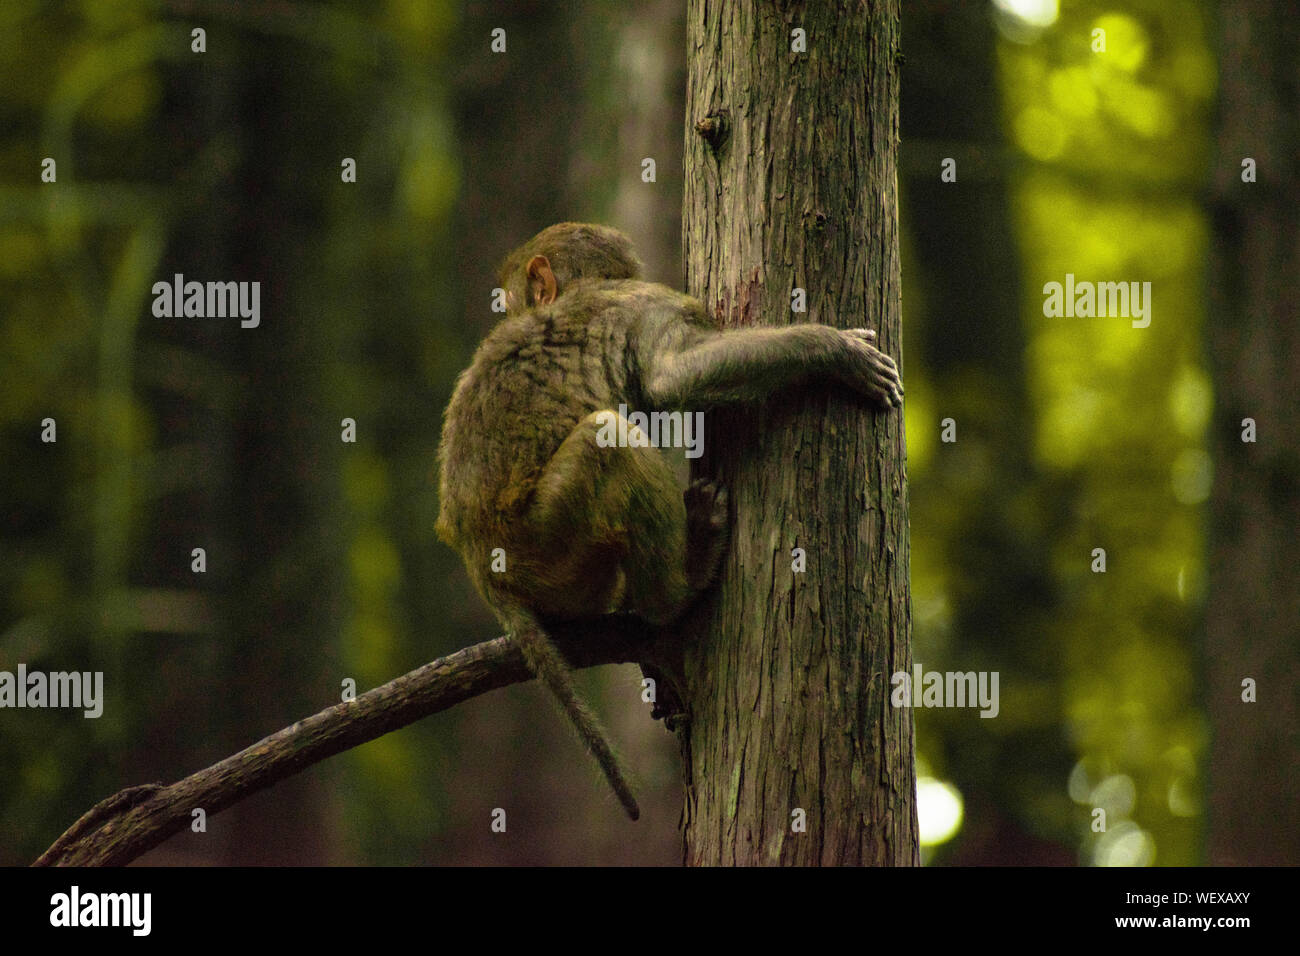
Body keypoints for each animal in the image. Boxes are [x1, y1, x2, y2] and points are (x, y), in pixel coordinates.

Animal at [436, 222, 902, 820]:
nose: (514, 316)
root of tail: (479, 559)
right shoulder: (649, 304)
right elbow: (669, 377)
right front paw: (830, 349)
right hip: (544, 545)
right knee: (607, 438)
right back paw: (677, 588)